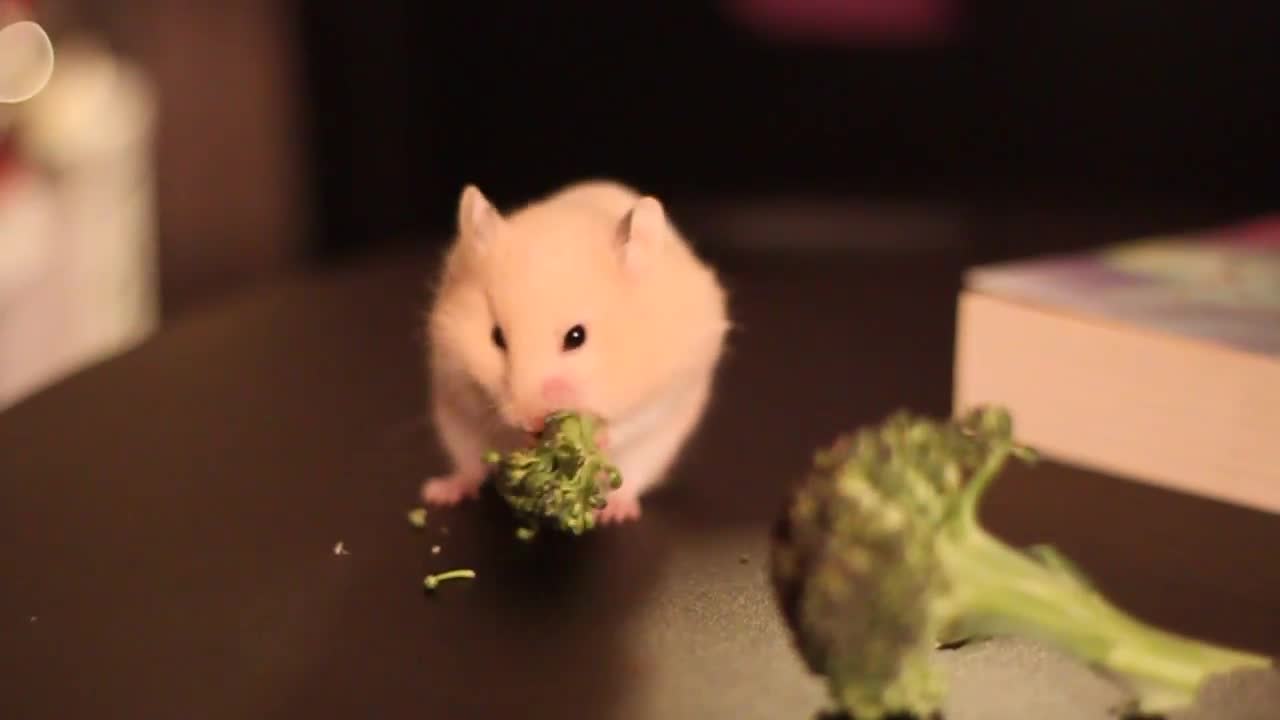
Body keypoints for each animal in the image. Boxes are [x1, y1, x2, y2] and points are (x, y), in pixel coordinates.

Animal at [419, 179, 732, 523]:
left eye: (576, 337)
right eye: (497, 337)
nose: (533, 422)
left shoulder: (666, 388)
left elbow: (627, 422)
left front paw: (595, 440)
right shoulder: (455, 379)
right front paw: (527, 439)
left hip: (653, 450)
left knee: (630, 482)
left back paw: (615, 513)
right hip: (455, 428)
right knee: (469, 468)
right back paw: (439, 493)